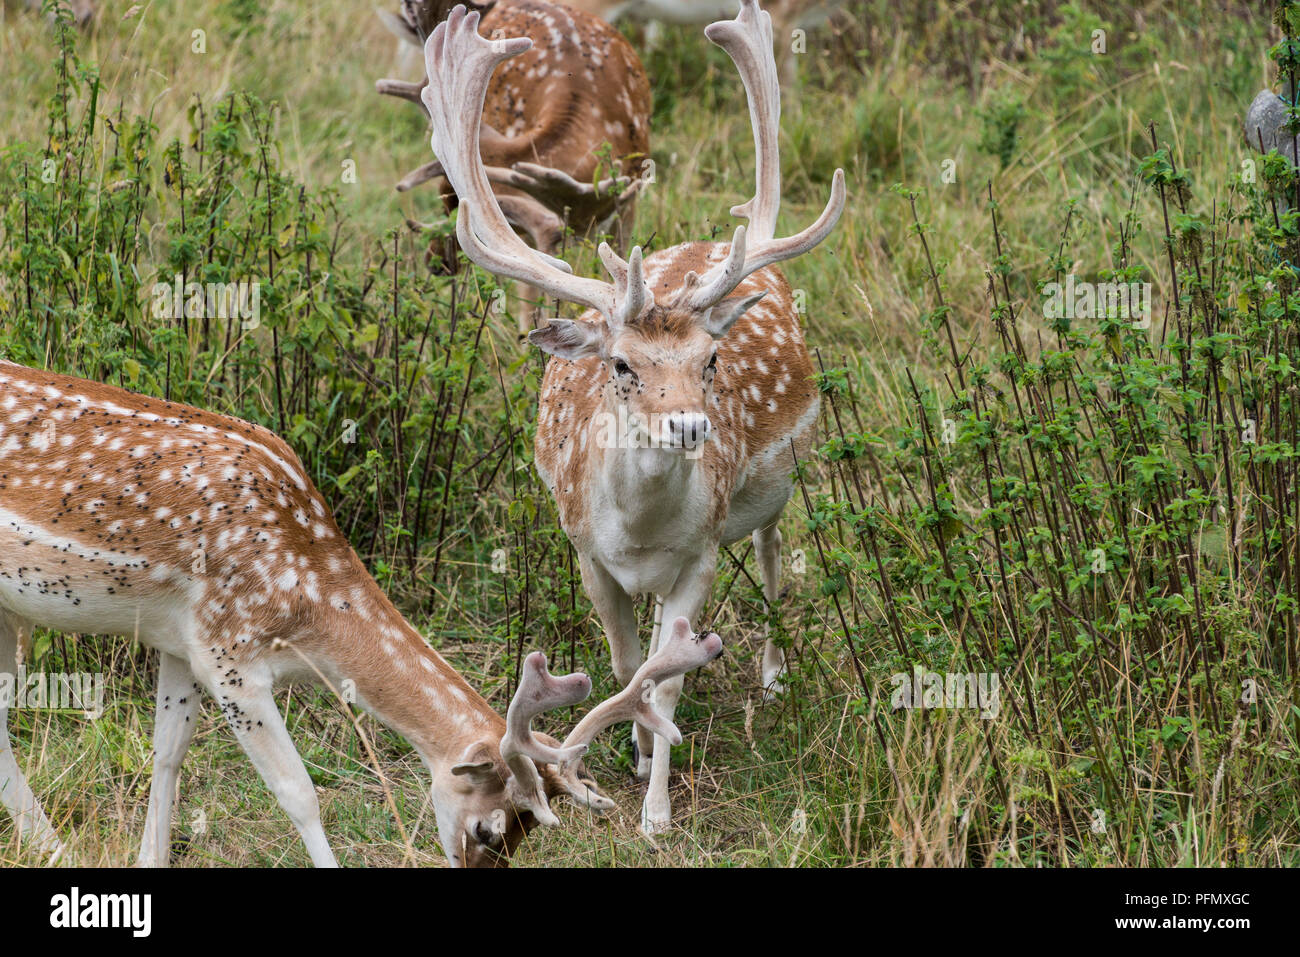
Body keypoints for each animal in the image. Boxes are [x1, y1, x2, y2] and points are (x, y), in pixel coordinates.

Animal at [0, 359, 722, 867]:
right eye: (488, 828)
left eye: (524, 834)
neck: (307, 610)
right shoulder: (231, 653)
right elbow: (299, 791)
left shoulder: (182, 641)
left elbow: (168, 754)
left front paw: (149, 858)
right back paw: (53, 846)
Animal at [419, 1, 844, 832]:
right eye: (621, 365)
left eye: (710, 361)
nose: (689, 427)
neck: (643, 532)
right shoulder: (587, 551)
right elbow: (625, 666)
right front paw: (640, 756)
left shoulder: (703, 549)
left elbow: (667, 678)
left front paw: (657, 813)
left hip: (779, 488)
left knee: (775, 555)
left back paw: (776, 672)